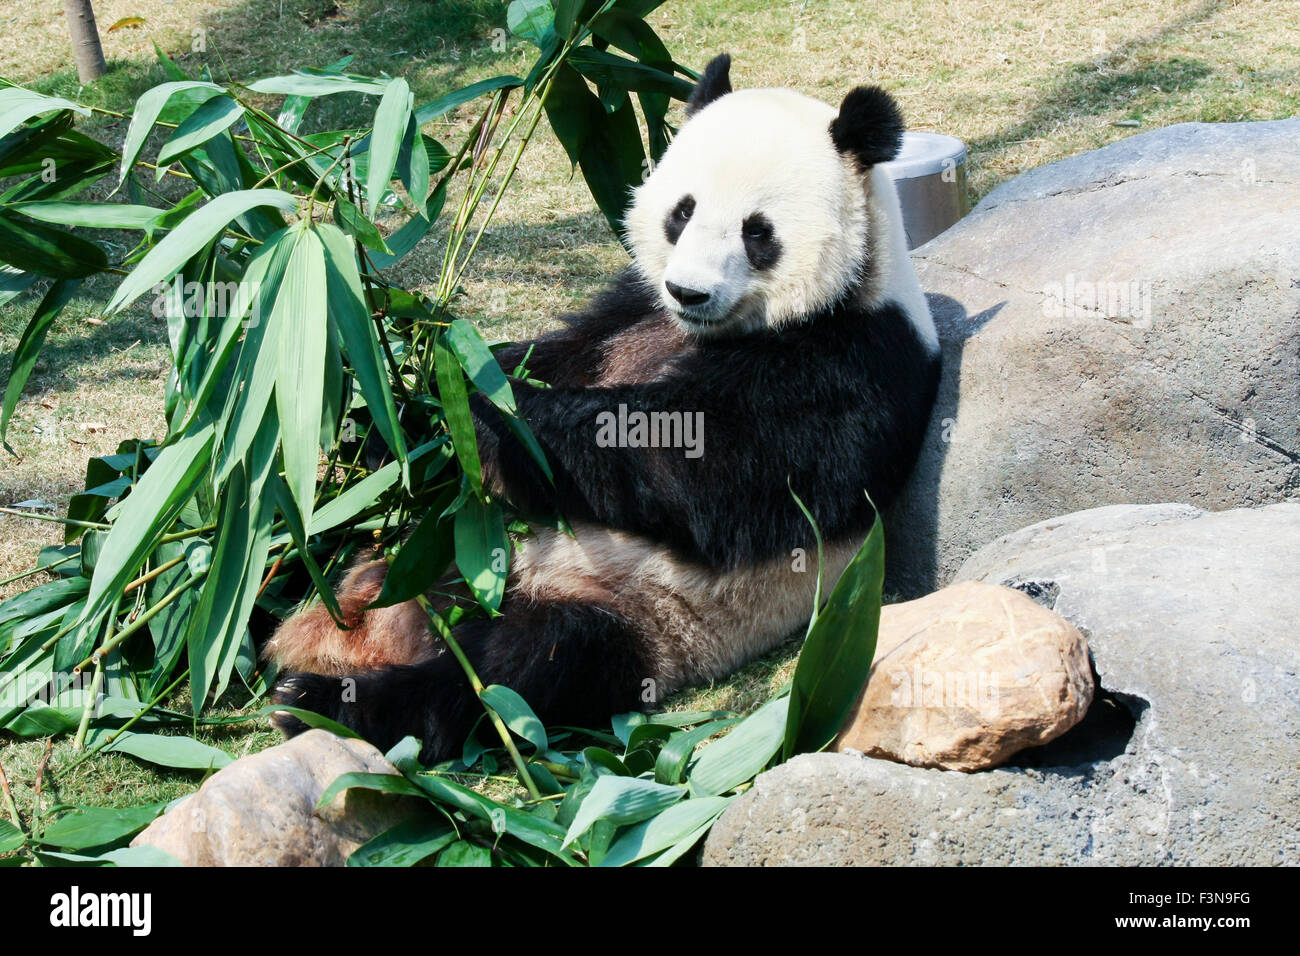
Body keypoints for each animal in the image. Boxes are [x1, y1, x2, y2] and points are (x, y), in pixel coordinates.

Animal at [266, 54, 941, 762]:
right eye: (682, 213)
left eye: (758, 232)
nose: (688, 291)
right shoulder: (628, 309)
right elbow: (543, 354)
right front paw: (398, 412)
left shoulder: (850, 363)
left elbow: (695, 468)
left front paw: (483, 420)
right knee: (315, 557)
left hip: (629, 613)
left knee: (521, 670)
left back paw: (322, 702)